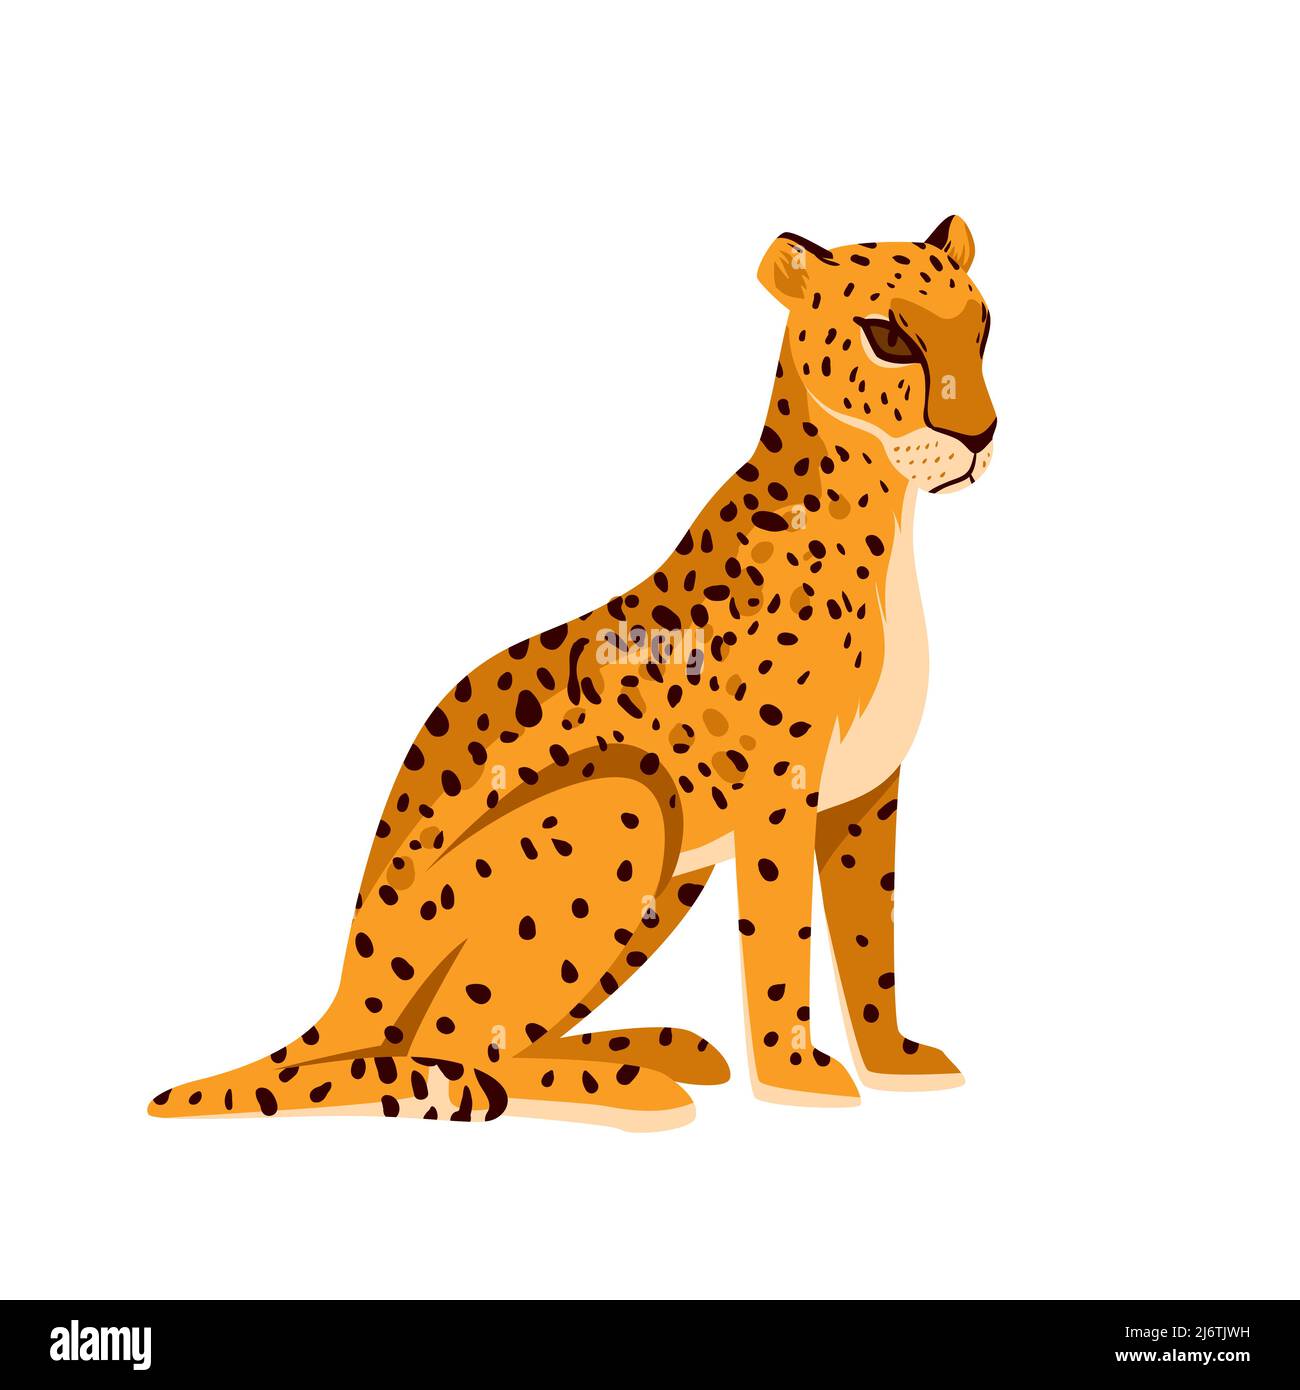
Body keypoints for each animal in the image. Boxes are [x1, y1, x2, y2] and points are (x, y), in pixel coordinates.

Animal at [149, 214, 996, 1130]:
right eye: (889, 338)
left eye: (982, 327)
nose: (979, 437)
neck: (879, 507)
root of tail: (350, 972)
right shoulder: (782, 793)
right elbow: (782, 943)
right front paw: (796, 1074)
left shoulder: (866, 795)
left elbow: (873, 943)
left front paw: (894, 1061)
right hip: (632, 804)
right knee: (431, 1054)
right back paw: (625, 1086)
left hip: (670, 877)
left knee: (452, 1046)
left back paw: (652, 1048)